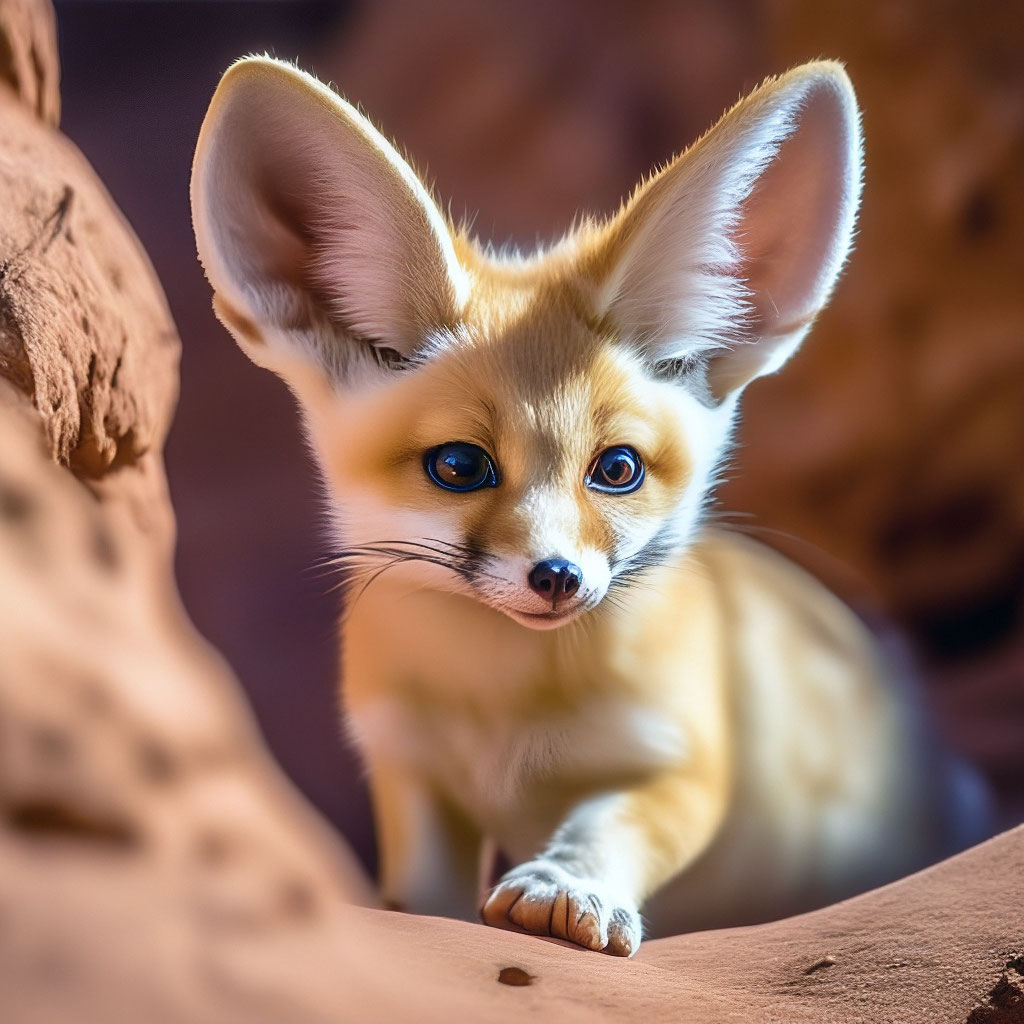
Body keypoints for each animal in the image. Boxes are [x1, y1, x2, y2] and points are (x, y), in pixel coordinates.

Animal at [190, 56, 990, 957]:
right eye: (459, 466)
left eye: (617, 469)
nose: (558, 578)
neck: (503, 716)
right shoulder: (408, 764)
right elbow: (423, 899)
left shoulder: (681, 758)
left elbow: (614, 824)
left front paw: (566, 885)